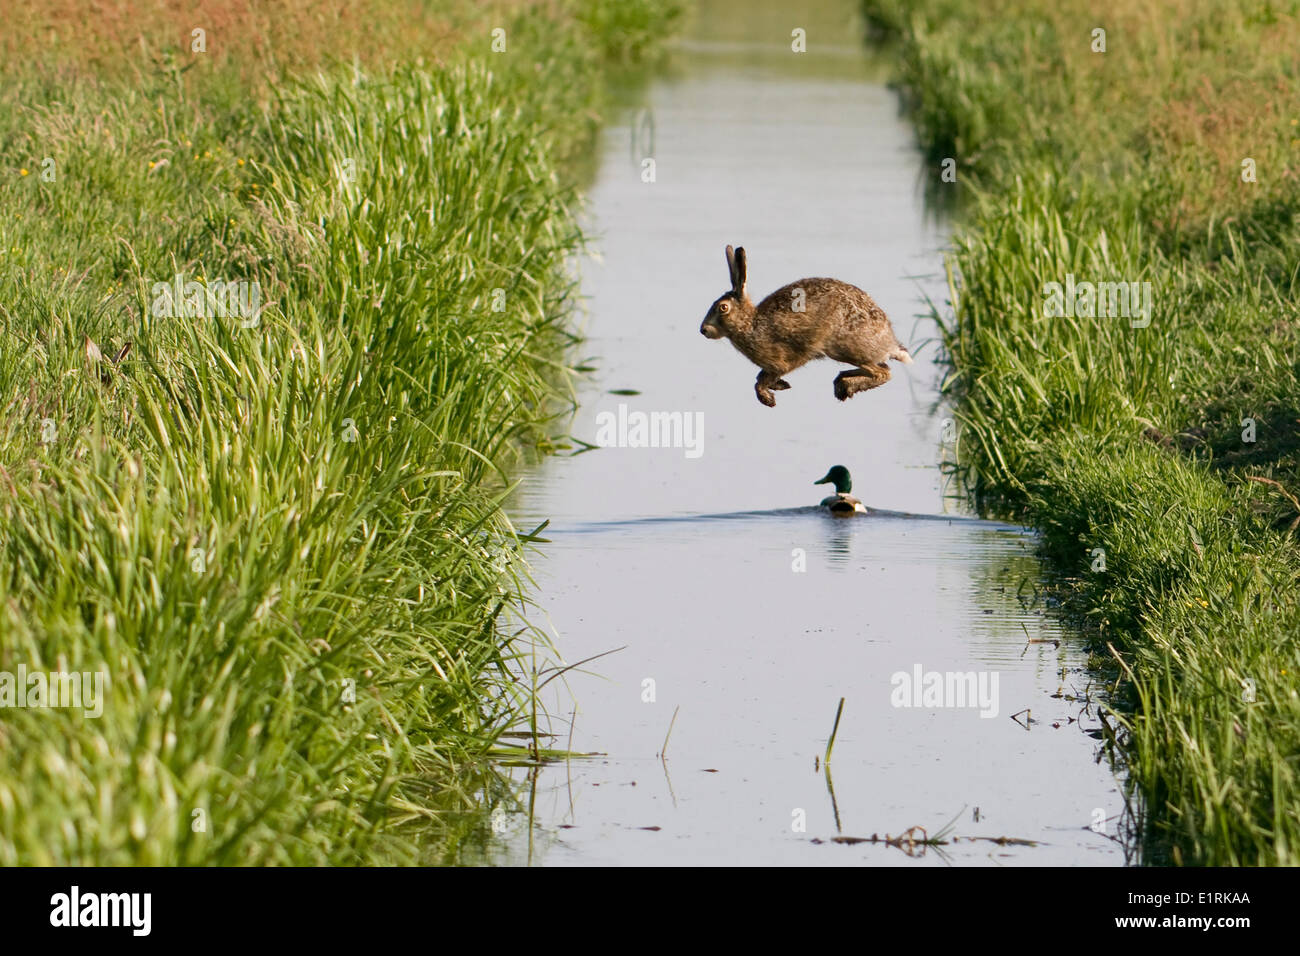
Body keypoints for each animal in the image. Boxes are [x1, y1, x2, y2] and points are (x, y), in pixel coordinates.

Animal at [699, 245, 913, 406]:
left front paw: (768, 398)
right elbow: (760, 378)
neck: (748, 324)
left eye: (723, 308)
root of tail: (889, 341)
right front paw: (779, 386)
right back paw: (842, 382)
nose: (703, 330)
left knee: (883, 373)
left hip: (847, 348)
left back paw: (847, 386)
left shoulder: (783, 360)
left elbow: (762, 381)